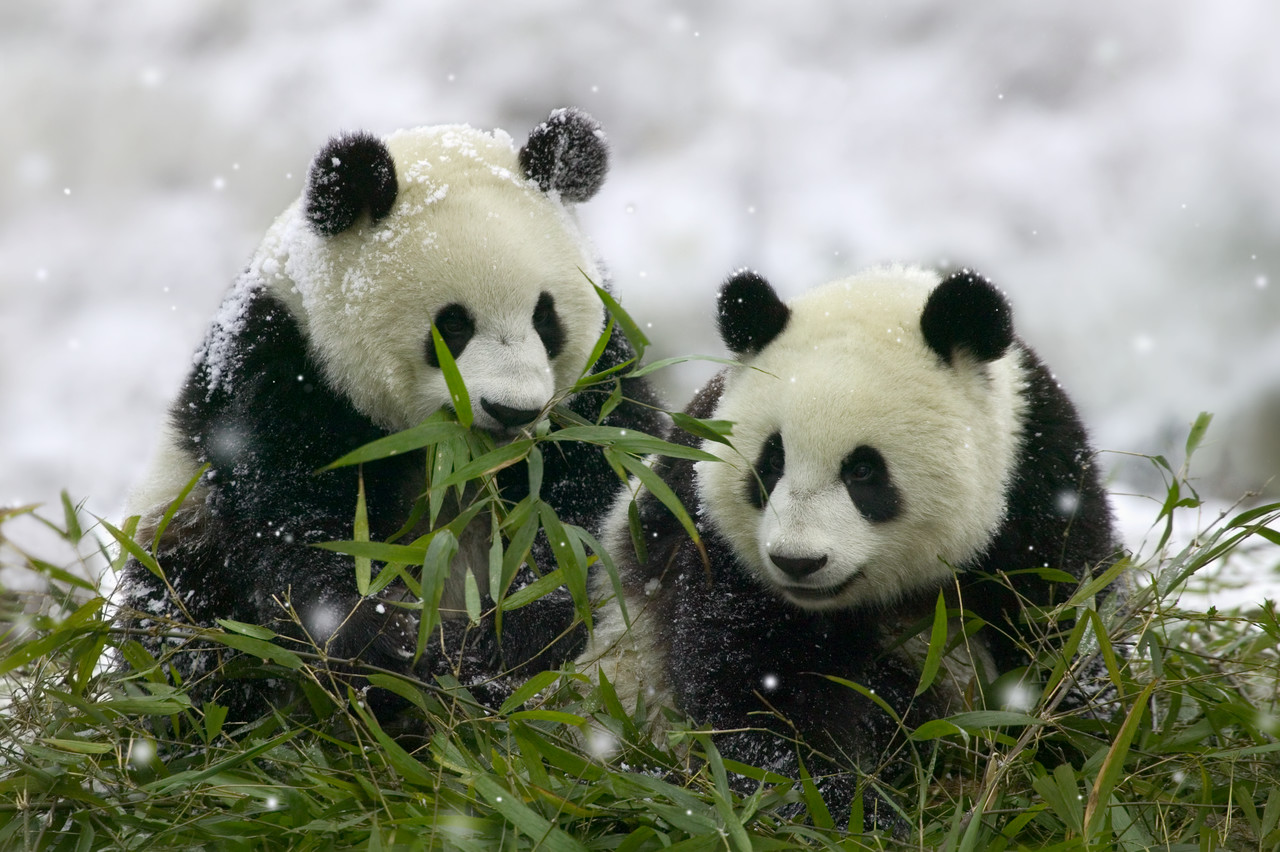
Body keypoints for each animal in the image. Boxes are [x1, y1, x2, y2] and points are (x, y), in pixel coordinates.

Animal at [116, 108, 664, 719]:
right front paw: (389, 645)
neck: (454, 455)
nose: (512, 410)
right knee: (183, 628)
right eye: (453, 325)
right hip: (180, 529)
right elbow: (298, 526)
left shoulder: (597, 388)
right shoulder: (279, 369)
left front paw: (503, 644)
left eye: (545, 318)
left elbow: (587, 508)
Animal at [579, 265, 1120, 832]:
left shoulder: (1039, 479)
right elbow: (763, 691)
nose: (797, 562)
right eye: (771, 462)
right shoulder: (714, 539)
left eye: (863, 470)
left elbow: (1066, 628)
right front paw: (858, 816)